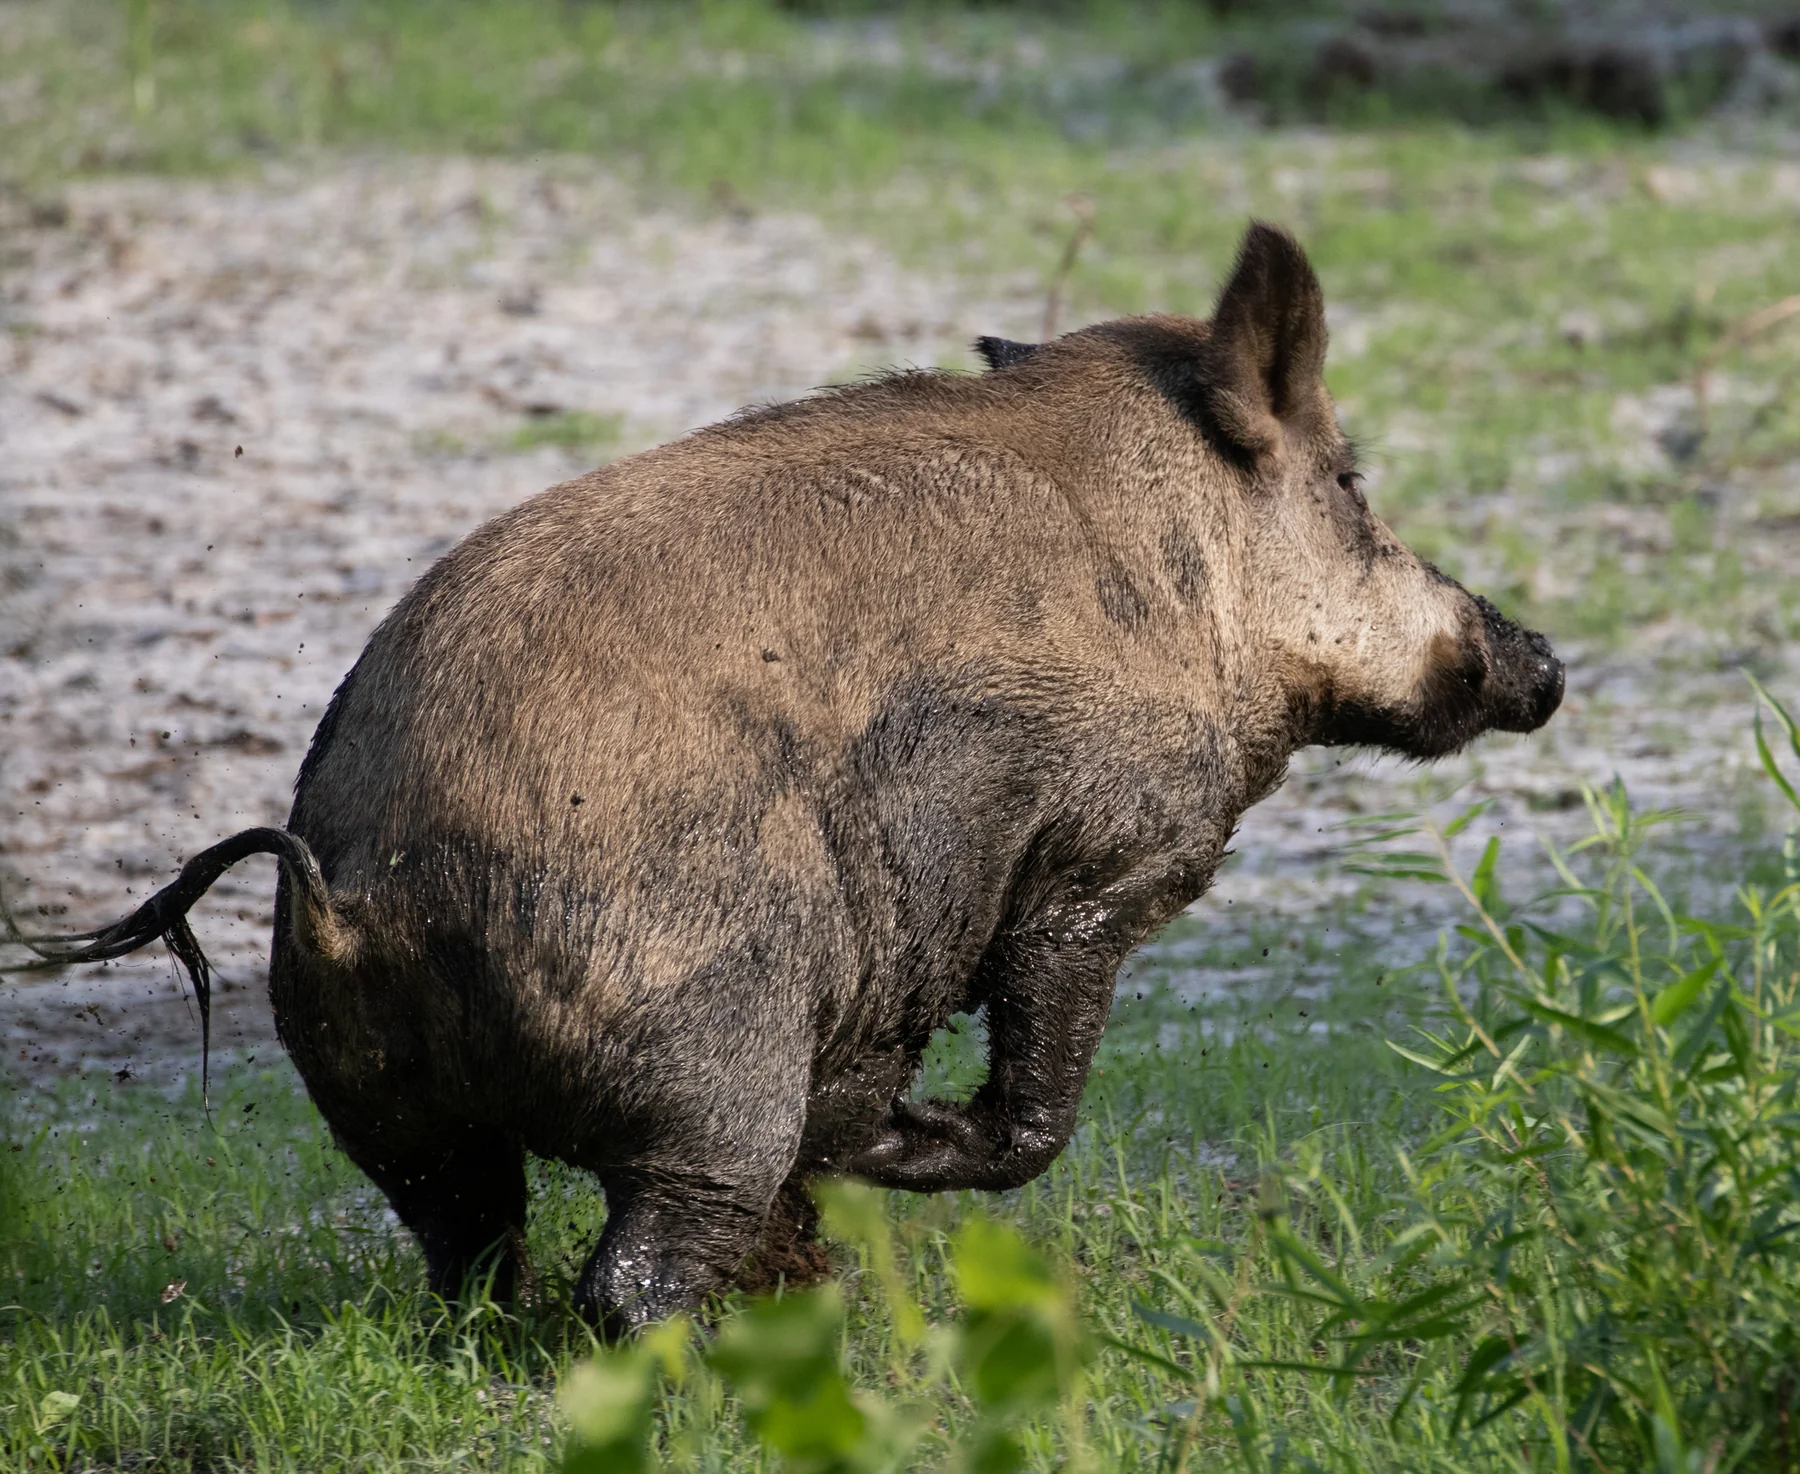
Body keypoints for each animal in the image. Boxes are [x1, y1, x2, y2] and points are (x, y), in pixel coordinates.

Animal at [8, 223, 1562, 1332]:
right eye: (1352, 481)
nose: (1542, 661)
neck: (1189, 597)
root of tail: (358, 890)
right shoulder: (1104, 850)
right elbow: (1038, 1100)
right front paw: (913, 1142)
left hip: (369, 1088)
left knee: (469, 1249)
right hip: (703, 1057)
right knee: (632, 1266)